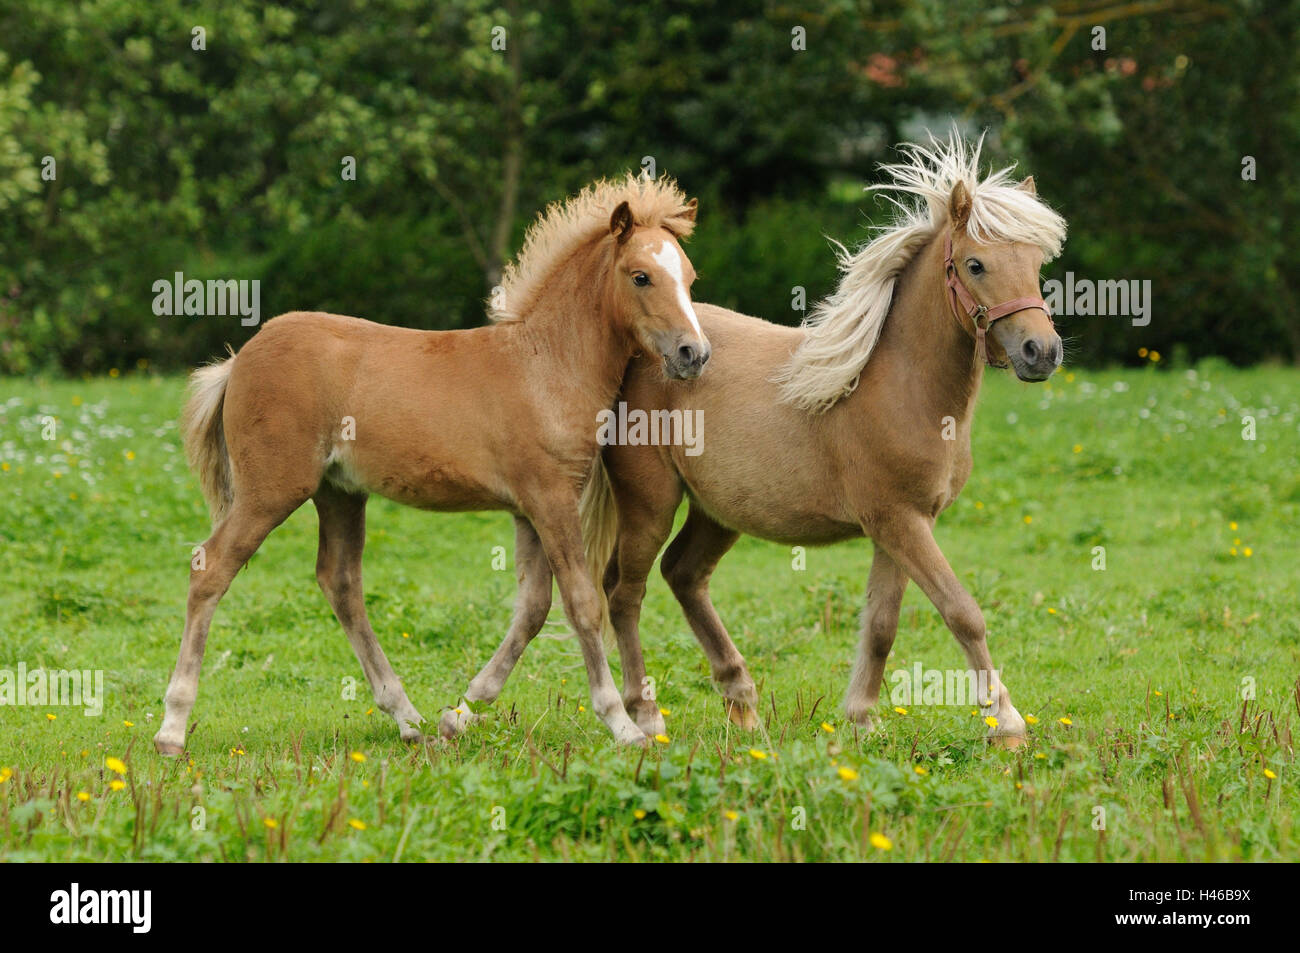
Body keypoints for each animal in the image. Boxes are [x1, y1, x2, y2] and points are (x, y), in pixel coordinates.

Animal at [154, 174, 707, 755]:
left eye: (690, 278)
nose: (694, 354)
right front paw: (622, 725)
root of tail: (239, 360)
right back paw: (172, 728)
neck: (547, 365)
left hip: (339, 492)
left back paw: (407, 718)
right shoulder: (551, 498)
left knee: (340, 582)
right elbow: (581, 602)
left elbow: (532, 609)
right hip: (271, 489)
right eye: (641, 276)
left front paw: (460, 714)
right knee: (212, 568)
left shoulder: (527, 509)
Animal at [580, 134, 1067, 746]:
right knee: (625, 593)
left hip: (719, 511)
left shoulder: (901, 527)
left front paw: (861, 719)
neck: (901, 385)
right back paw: (645, 715)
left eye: (1037, 262)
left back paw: (742, 703)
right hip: (650, 503)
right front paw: (1006, 723)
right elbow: (962, 612)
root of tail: (640, 349)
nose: (1040, 352)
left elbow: (881, 625)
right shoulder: (900, 523)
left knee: (684, 575)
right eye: (975, 264)